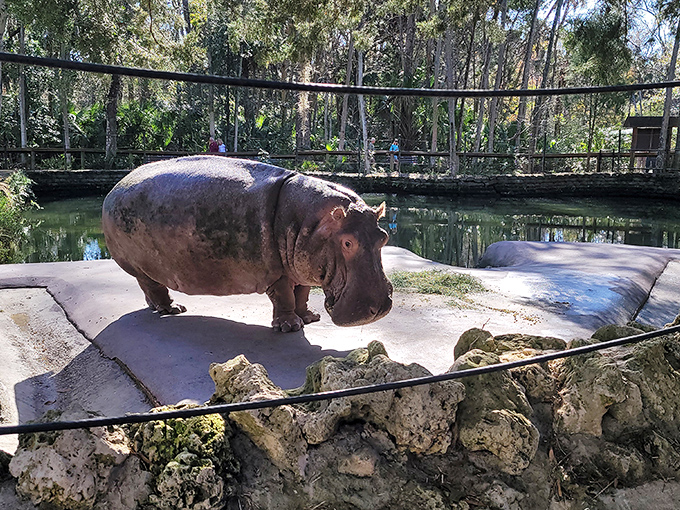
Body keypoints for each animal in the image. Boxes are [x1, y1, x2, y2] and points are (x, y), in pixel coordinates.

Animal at [102, 155, 393, 332]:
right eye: (347, 243)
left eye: (384, 237)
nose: (379, 308)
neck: (312, 221)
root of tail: (114, 188)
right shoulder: (277, 272)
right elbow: (285, 296)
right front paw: (291, 327)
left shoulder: (300, 267)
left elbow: (302, 293)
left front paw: (309, 318)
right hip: (139, 265)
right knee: (152, 286)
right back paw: (172, 309)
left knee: (150, 287)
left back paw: (156, 307)